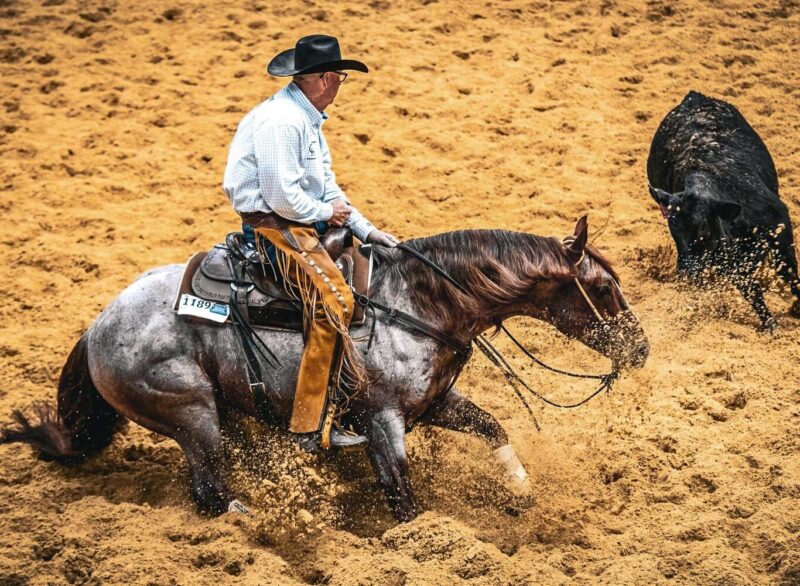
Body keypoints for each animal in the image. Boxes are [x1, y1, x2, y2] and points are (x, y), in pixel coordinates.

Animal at [1, 217, 649, 522]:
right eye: (602, 287)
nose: (641, 350)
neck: (423, 303)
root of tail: (96, 328)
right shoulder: (382, 416)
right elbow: (400, 487)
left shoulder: (433, 402)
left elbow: (493, 426)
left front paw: (522, 490)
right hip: (190, 414)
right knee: (209, 491)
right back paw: (264, 522)